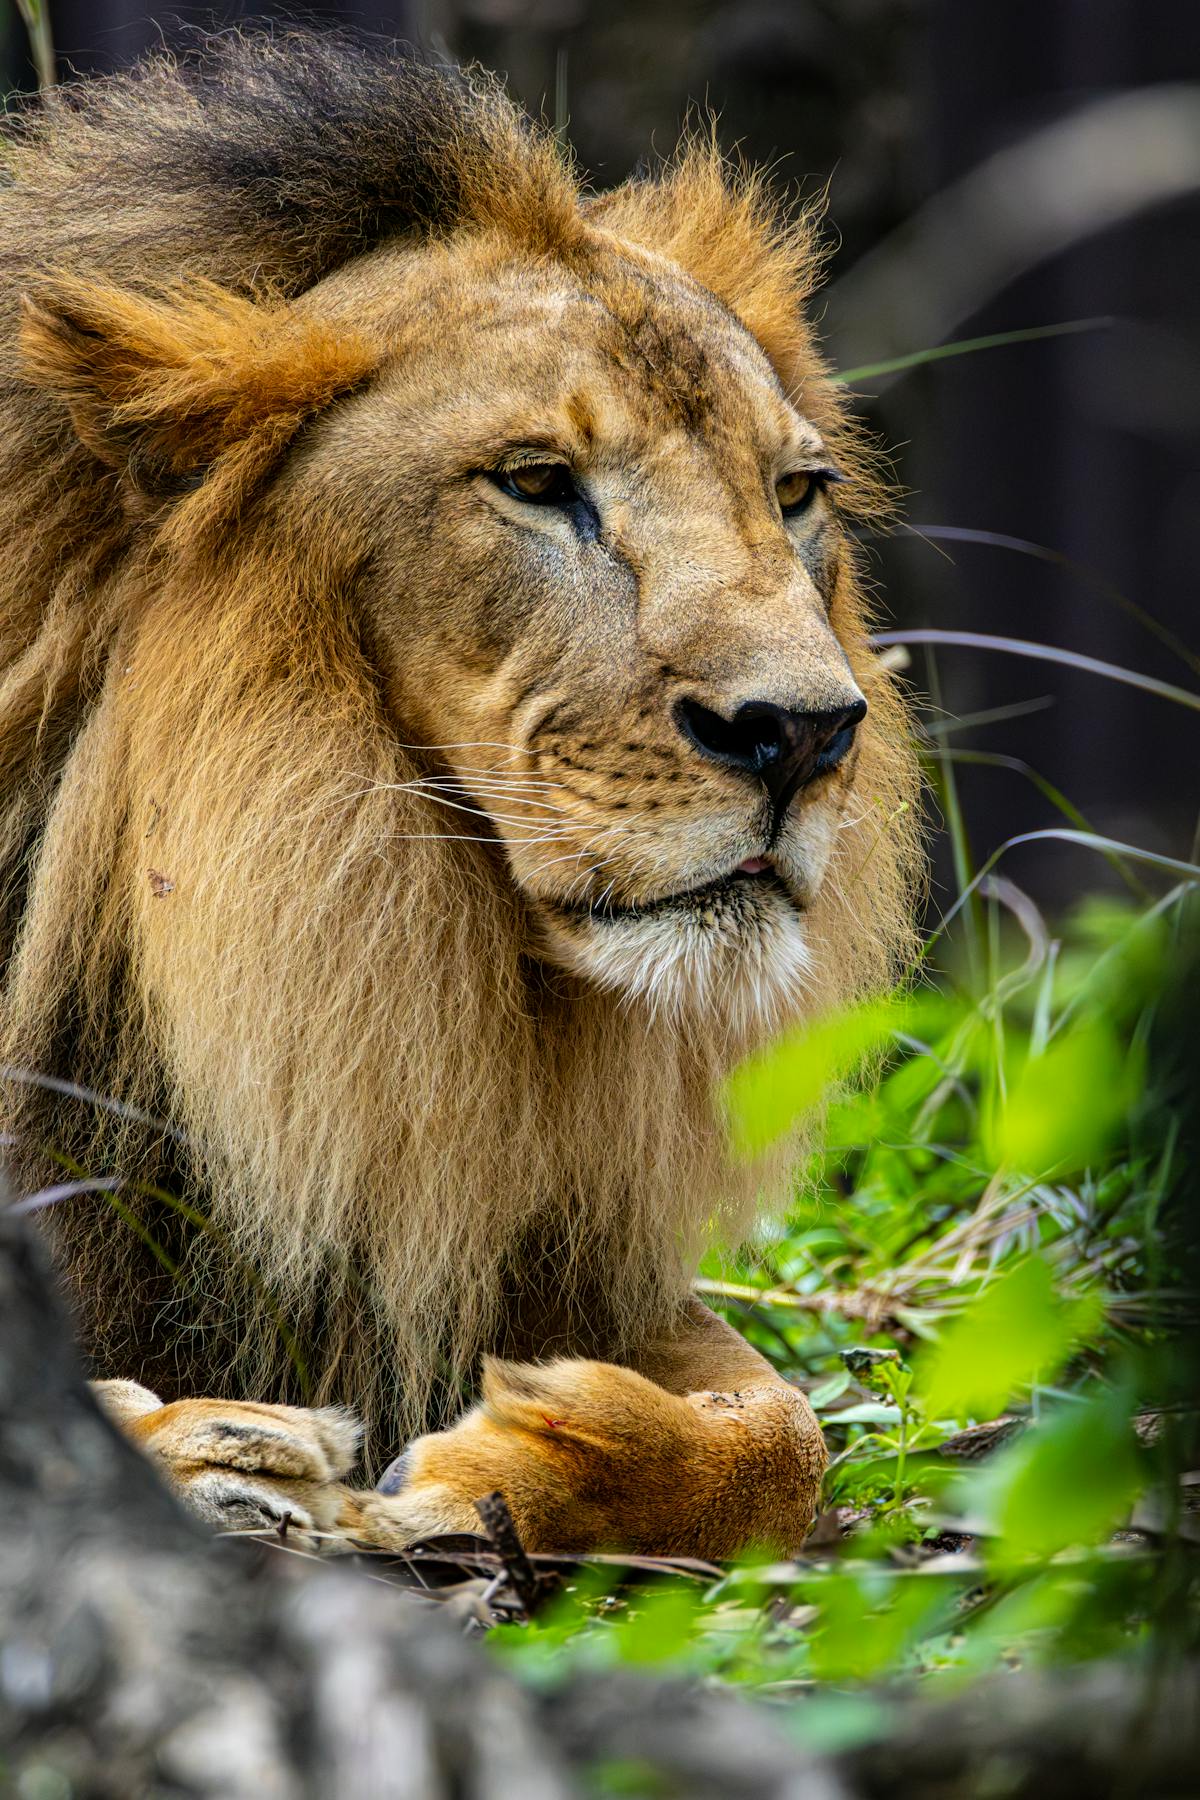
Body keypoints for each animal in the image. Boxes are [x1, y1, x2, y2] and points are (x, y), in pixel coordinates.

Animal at [0, 32, 919, 1559]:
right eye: (538, 483)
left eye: (796, 493)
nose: (805, 733)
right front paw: (221, 1439)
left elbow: (787, 1439)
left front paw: (523, 1449)